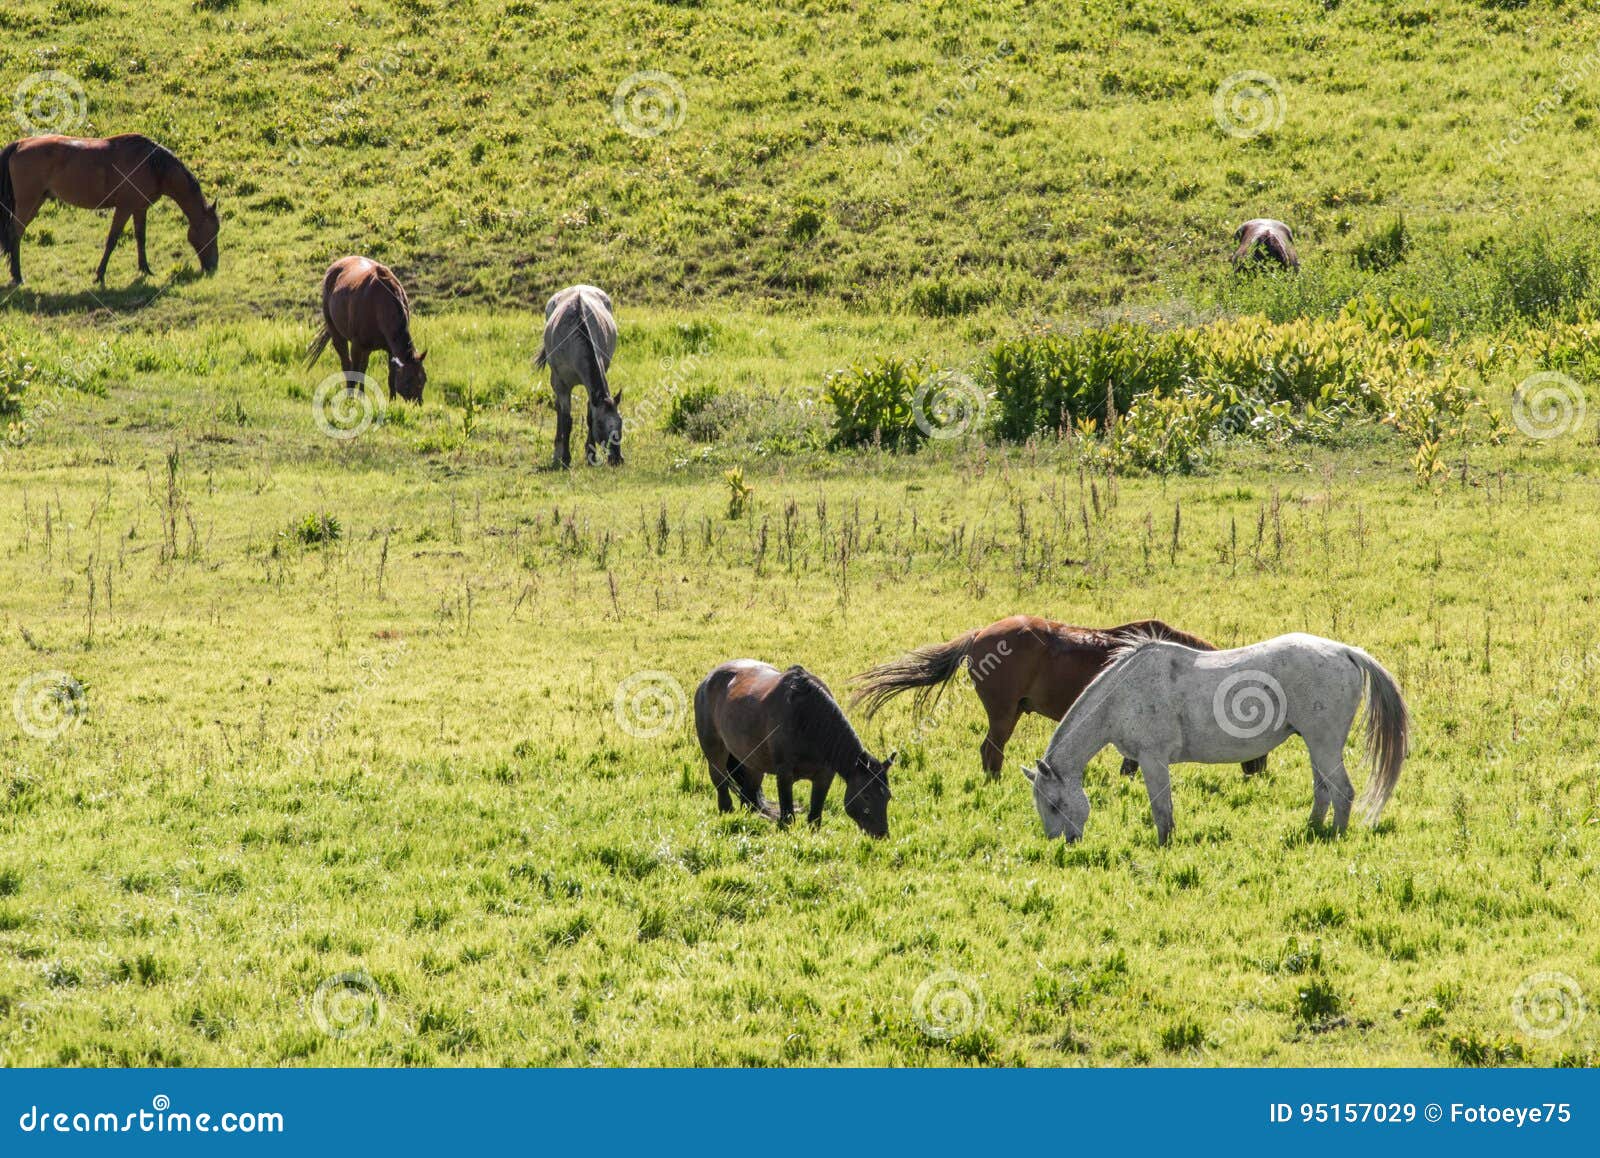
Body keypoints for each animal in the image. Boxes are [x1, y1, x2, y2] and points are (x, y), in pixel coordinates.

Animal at [0, 134, 219, 286]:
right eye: (212, 232)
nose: (213, 266)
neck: (153, 165)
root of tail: (20, 144)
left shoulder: (140, 209)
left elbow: (141, 238)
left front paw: (145, 269)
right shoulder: (124, 208)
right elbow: (112, 239)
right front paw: (99, 275)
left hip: (36, 201)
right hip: (28, 202)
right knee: (15, 233)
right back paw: (18, 276)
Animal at [305, 256, 427, 401]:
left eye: (424, 380)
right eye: (408, 380)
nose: (418, 403)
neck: (380, 304)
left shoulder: (390, 350)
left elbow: (390, 377)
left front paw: (392, 401)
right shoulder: (357, 345)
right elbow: (354, 371)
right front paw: (350, 400)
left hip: (367, 347)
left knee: (363, 367)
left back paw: (361, 395)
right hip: (338, 334)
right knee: (346, 363)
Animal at [536, 284, 622, 467]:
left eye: (621, 422)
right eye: (601, 425)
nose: (617, 458)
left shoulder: (592, 391)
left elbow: (589, 417)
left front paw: (591, 455)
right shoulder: (562, 385)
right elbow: (567, 420)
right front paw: (565, 458)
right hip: (555, 381)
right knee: (559, 410)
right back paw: (557, 451)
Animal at [694, 660, 895, 837]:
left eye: (888, 796)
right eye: (866, 795)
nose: (881, 834)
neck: (806, 718)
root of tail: (707, 680)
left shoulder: (824, 777)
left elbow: (815, 817)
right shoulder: (784, 774)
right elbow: (788, 817)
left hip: (753, 764)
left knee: (748, 796)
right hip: (716, 754)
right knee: (721, 783)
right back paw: (727, 812)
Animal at [1023, 632, 1409, 846]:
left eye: (1054, 804)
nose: (1064, 844)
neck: (1123, 693)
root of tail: (1346, 651)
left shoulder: (1152, 760)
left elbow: (1162, 810)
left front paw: (1164, 845)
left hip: (1324, 744)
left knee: (1343, 791)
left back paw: (1336, 837)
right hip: (1316, 746)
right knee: (1323, 789)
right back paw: (1313, 829)